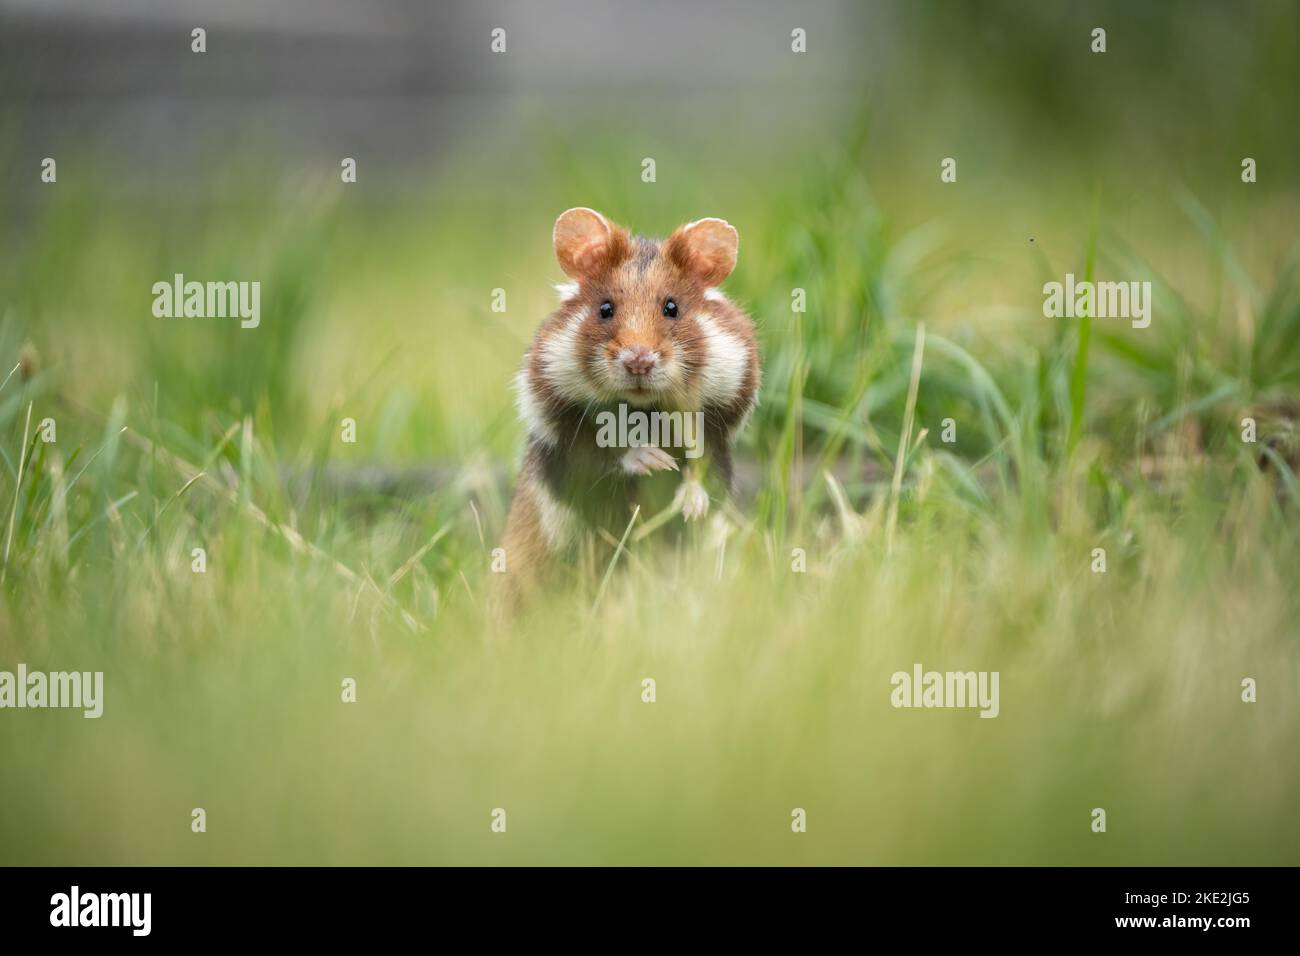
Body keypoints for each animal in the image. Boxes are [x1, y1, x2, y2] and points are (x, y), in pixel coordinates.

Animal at [500, 207, 760, 597]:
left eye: (672, 307)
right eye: (605, 308)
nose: (639, 361)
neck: (643, 410)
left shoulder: (717, 434)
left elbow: (704, 471)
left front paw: (690, 506)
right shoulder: (566, 448)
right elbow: (600, 454)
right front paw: (655, 460)